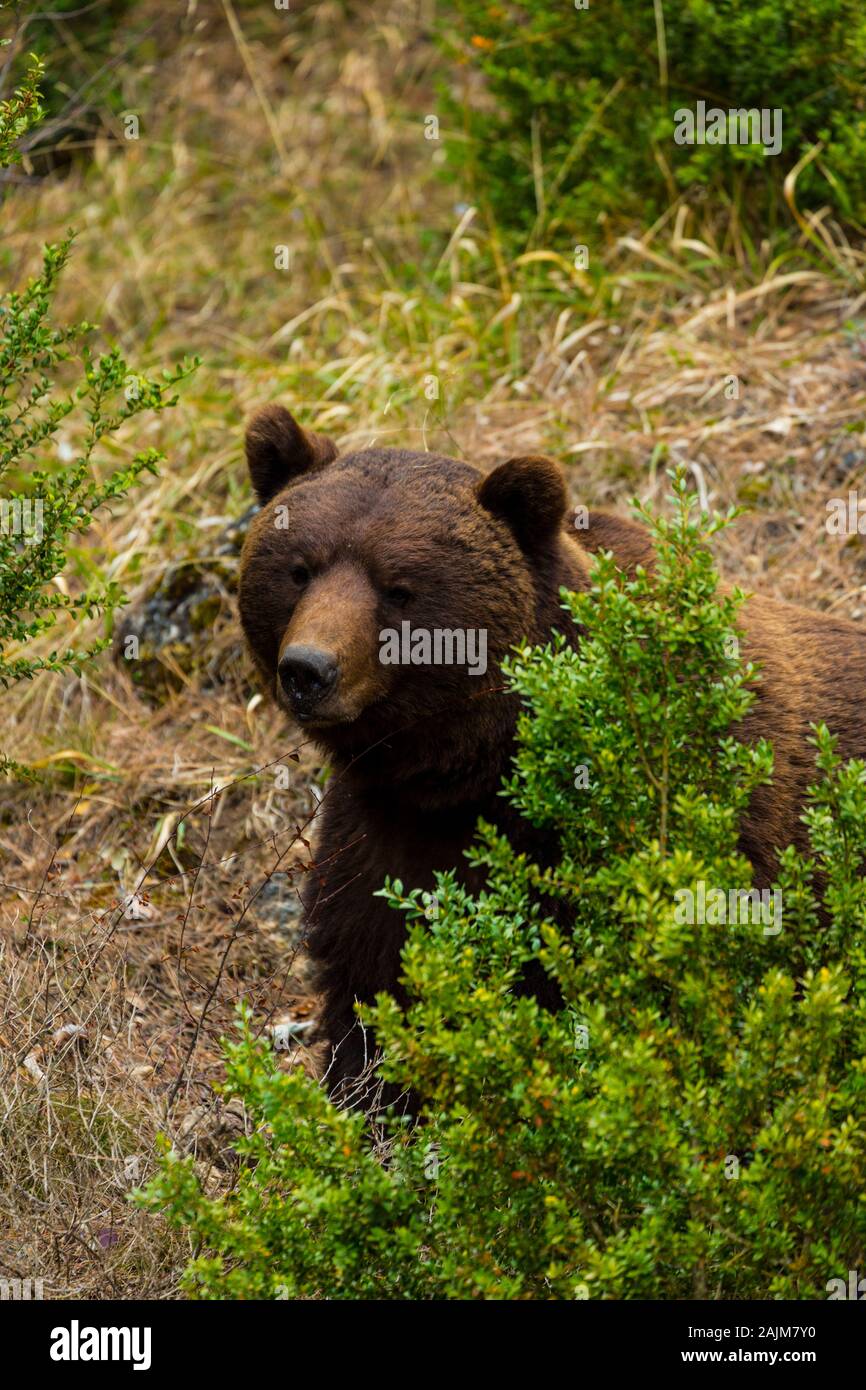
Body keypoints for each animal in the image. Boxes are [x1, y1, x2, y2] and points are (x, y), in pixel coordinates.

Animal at [238, 404, 866, 1107]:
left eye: (398, 587)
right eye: (299, 569)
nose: (308, 670)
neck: (467, 766)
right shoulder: (378, 835)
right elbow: (370, 993)